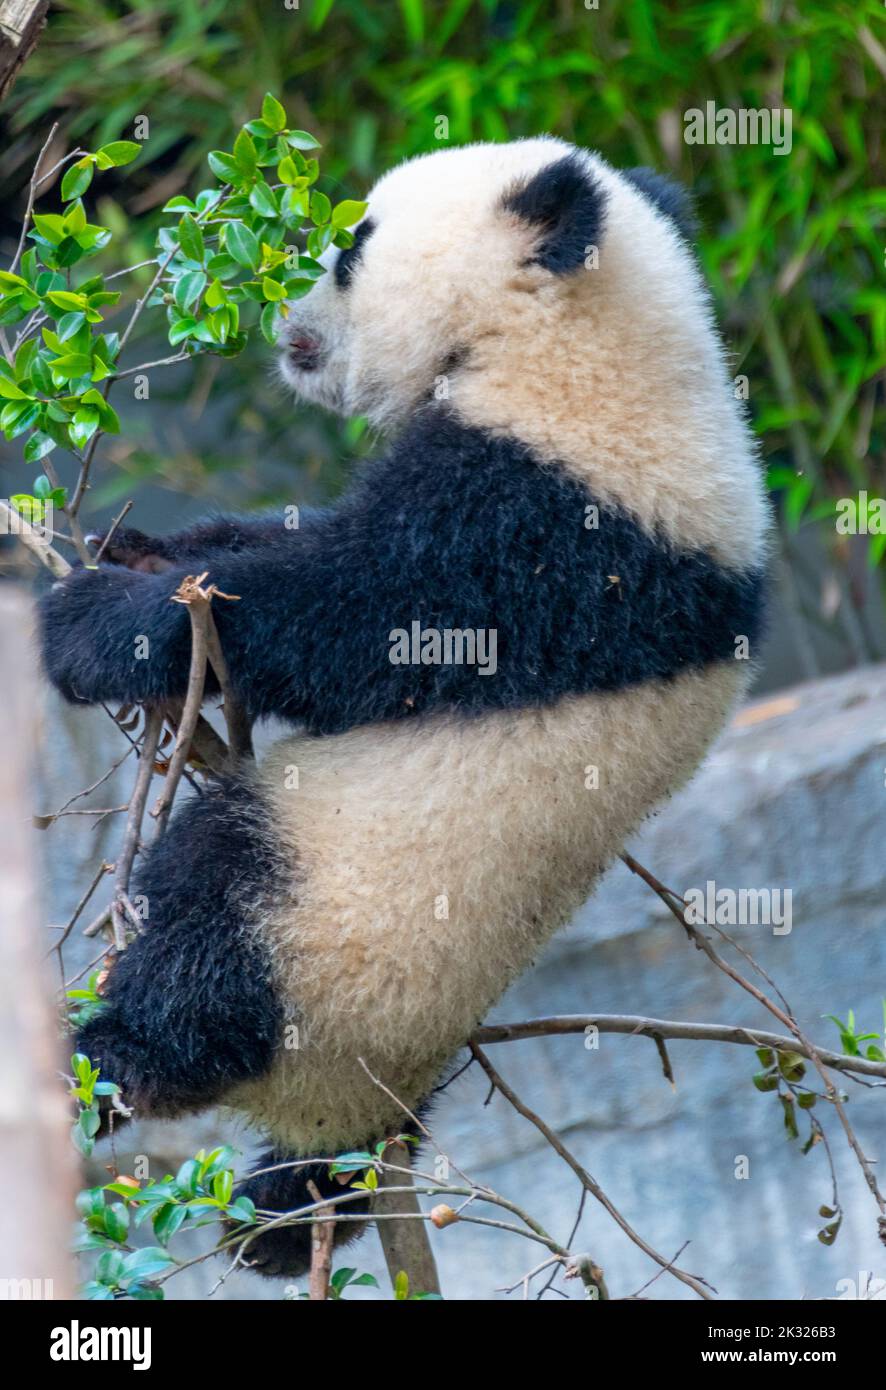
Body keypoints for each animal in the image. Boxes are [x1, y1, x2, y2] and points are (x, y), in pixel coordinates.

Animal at [40, 137, 770, 1276]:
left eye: (351, 246)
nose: (288, 323)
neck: (578, 348)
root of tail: (330, 1098)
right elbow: (285, 552)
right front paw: (150, 547)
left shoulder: (550, 523)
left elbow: (349, 614)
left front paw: (95, 624)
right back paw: (285, 1211)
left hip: (330, 931)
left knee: (211, 922)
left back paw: (117, 1059)